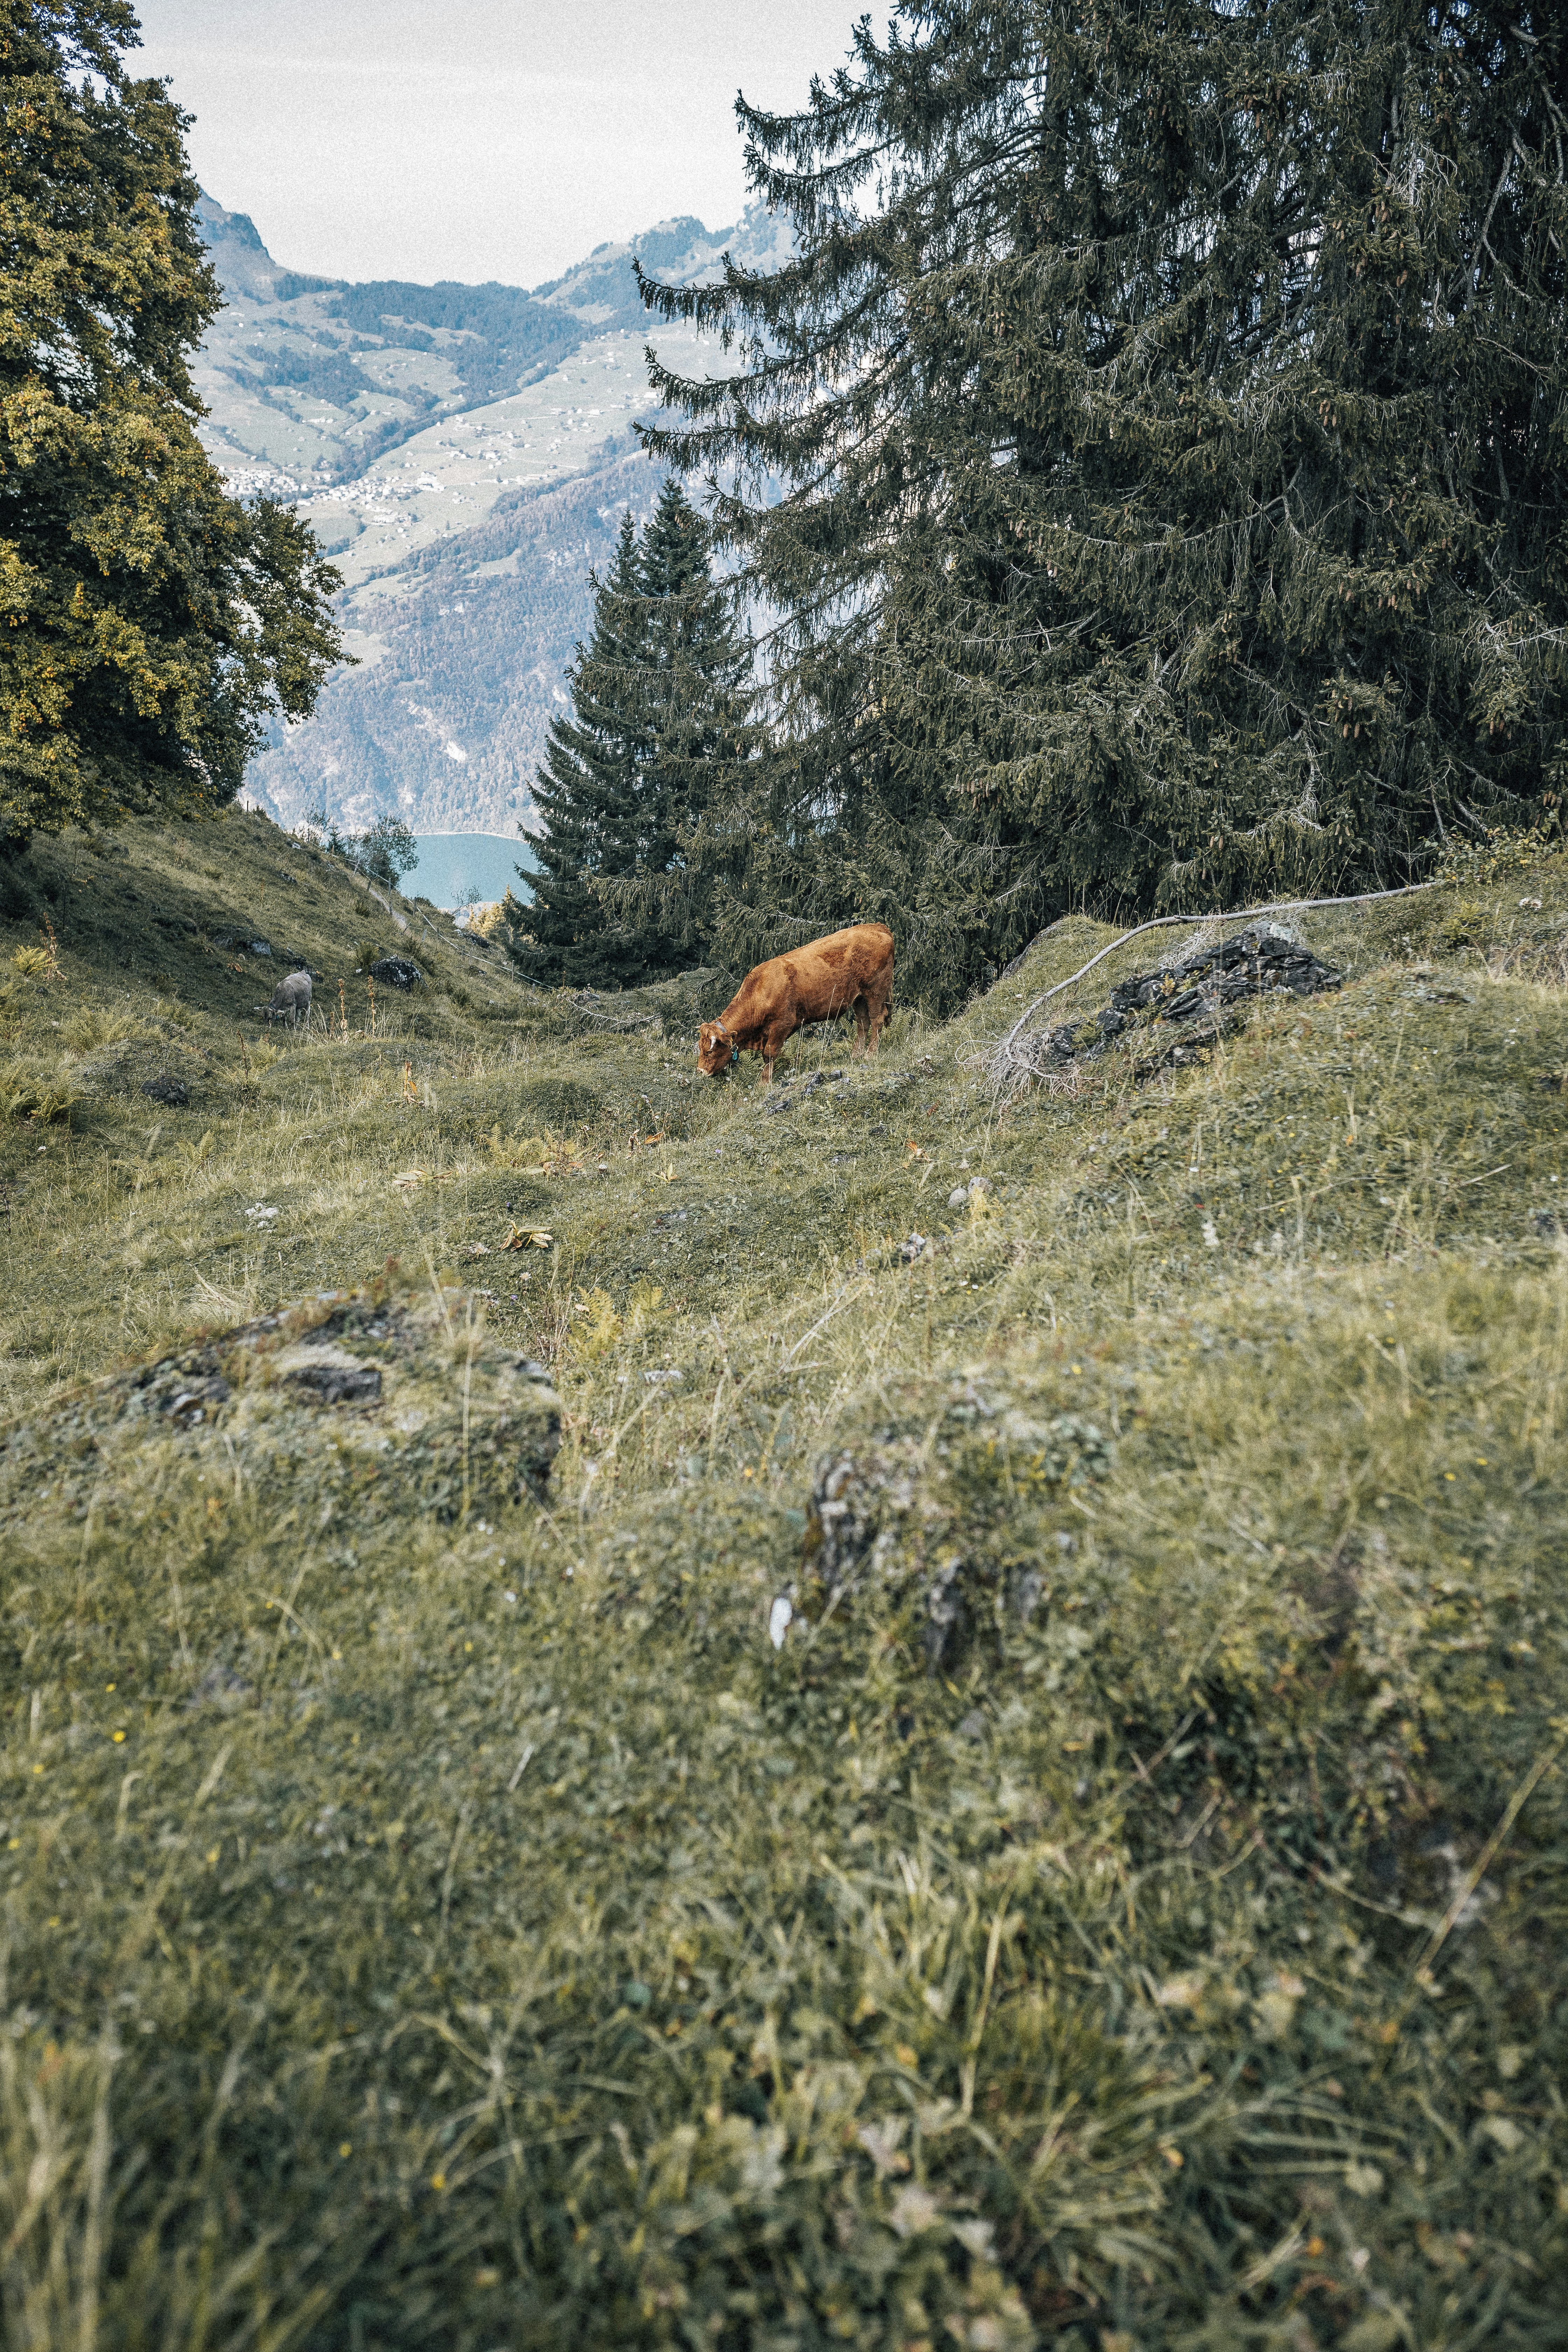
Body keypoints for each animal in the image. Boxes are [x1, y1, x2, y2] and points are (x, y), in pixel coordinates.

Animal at [256, 970, 313, 1030]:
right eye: (262, 1017)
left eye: (270, 1018)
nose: (265, 1028)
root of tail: (303, 972)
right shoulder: (284, 1009)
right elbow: (284, 1018)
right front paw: (286, 1028)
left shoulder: (293, 1005)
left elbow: (292, 1020)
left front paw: (293, 1030)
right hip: (298, 1004)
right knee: (298, 1015)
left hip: (309, 1000)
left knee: (307, 1013)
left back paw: (306, 1027)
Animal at [697, 922, 894, 1085]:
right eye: (700, 1048)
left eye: (710, 1051)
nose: (700, 1071)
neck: (760, 990)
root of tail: (878, 928)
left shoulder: (782, 1025)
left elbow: (769, 1054)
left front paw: (764, 1083)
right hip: (859, 998)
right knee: (863, 1023)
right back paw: (856, 1055)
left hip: (875, 991)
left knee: (877, 1020)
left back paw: (870, 1055)